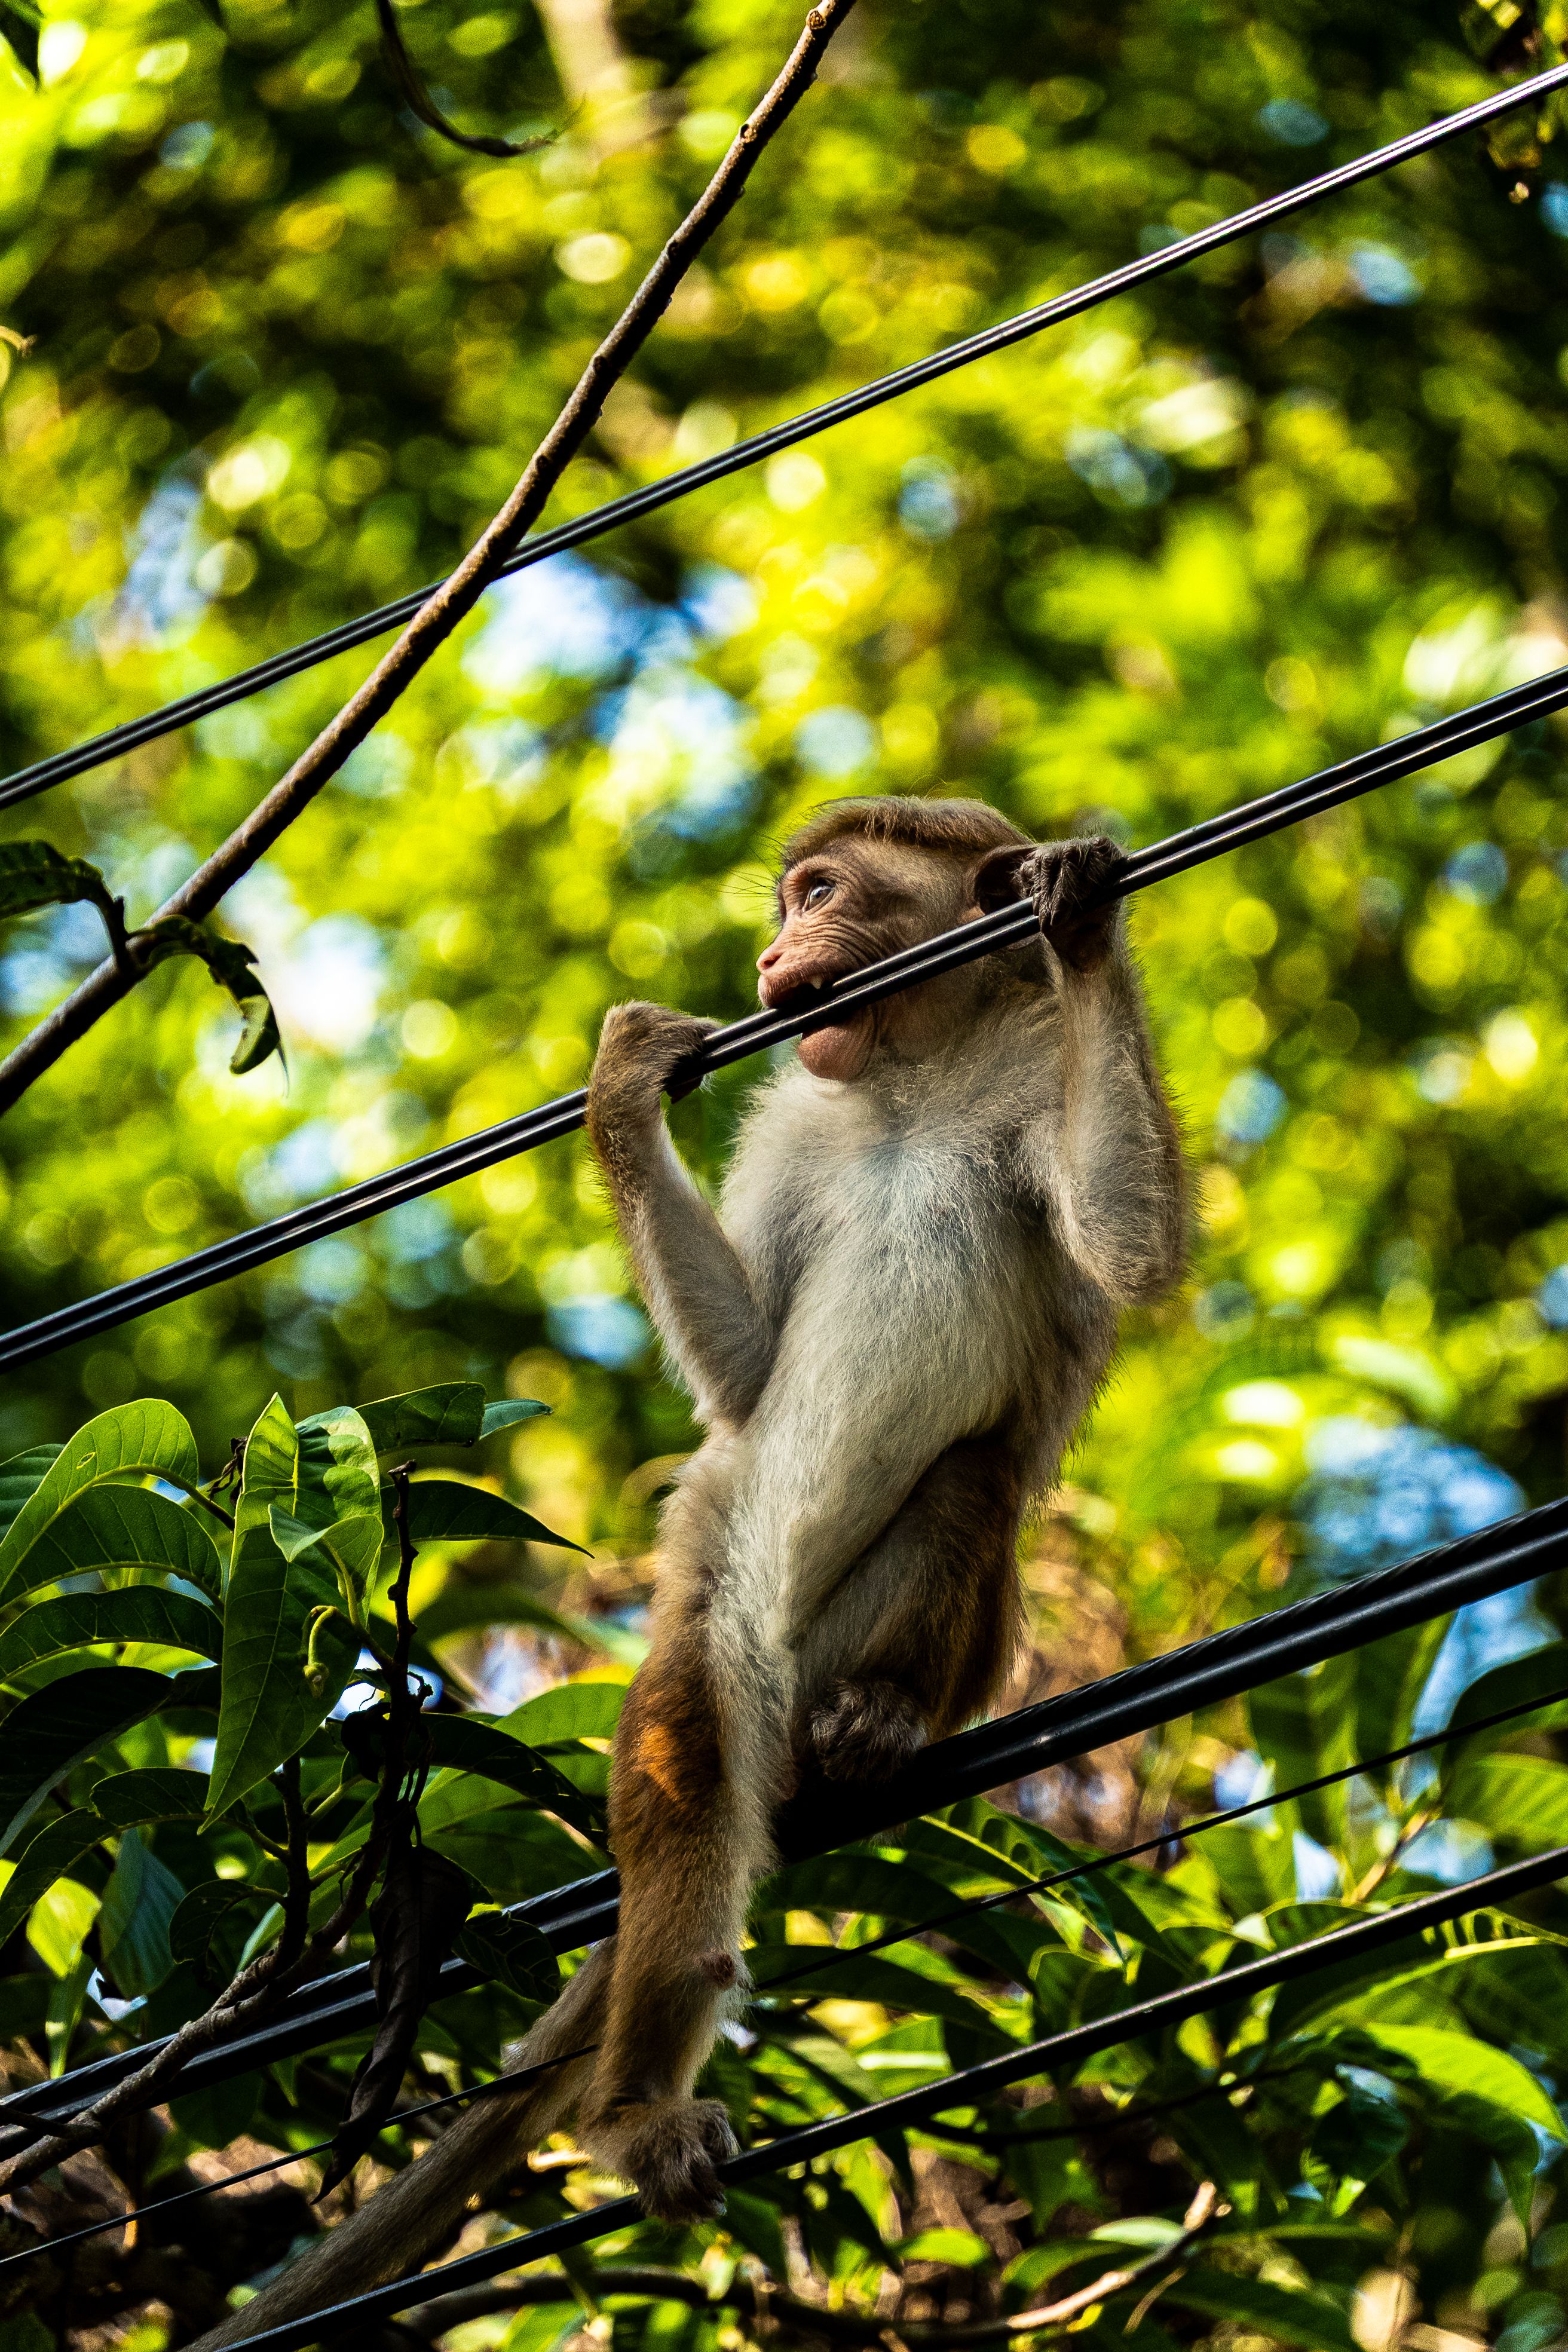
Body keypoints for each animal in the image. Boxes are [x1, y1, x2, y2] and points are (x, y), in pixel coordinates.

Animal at [190, 795, 1186, 2349]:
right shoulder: (791, 1121)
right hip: (725, 1625)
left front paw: (1078, 912)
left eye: (822, 891)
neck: (915, 1072)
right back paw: (633, 2110)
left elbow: (1122, 1245)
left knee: (969, 1479)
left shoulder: (1029, 1078)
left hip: (874, 1633)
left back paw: (882, 1717)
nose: (775, 948)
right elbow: (744, 1376)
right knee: (686, 1768)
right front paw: (622, 1085)